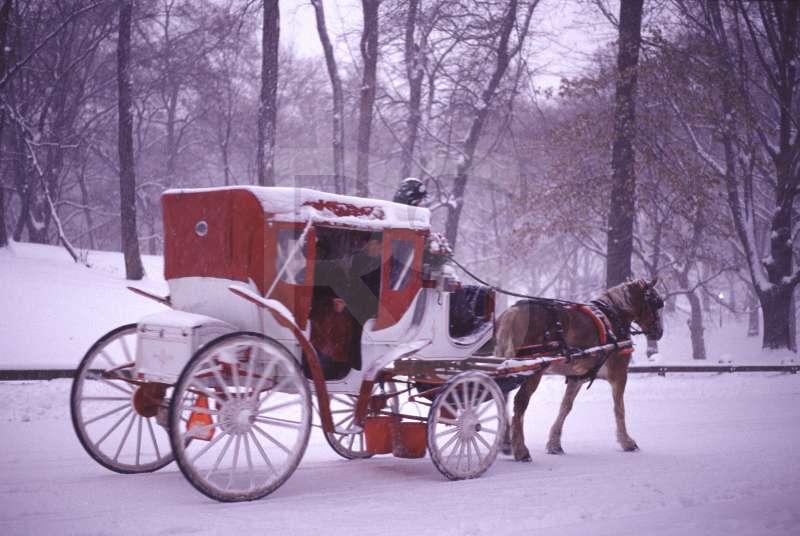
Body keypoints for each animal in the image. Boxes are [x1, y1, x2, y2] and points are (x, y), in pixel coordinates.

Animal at [496, 276, 664, 460]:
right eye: (655, 303)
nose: (659, 332)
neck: (613, 318)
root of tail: (512, 313)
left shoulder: (578, 377)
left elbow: (566, 407)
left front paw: (554, 444)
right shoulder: (619, 375)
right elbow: (619, 408)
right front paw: (626, 441)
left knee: (502, 397)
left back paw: (506, 443)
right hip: (533, 371)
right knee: (520, 403)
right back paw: (521, 450)